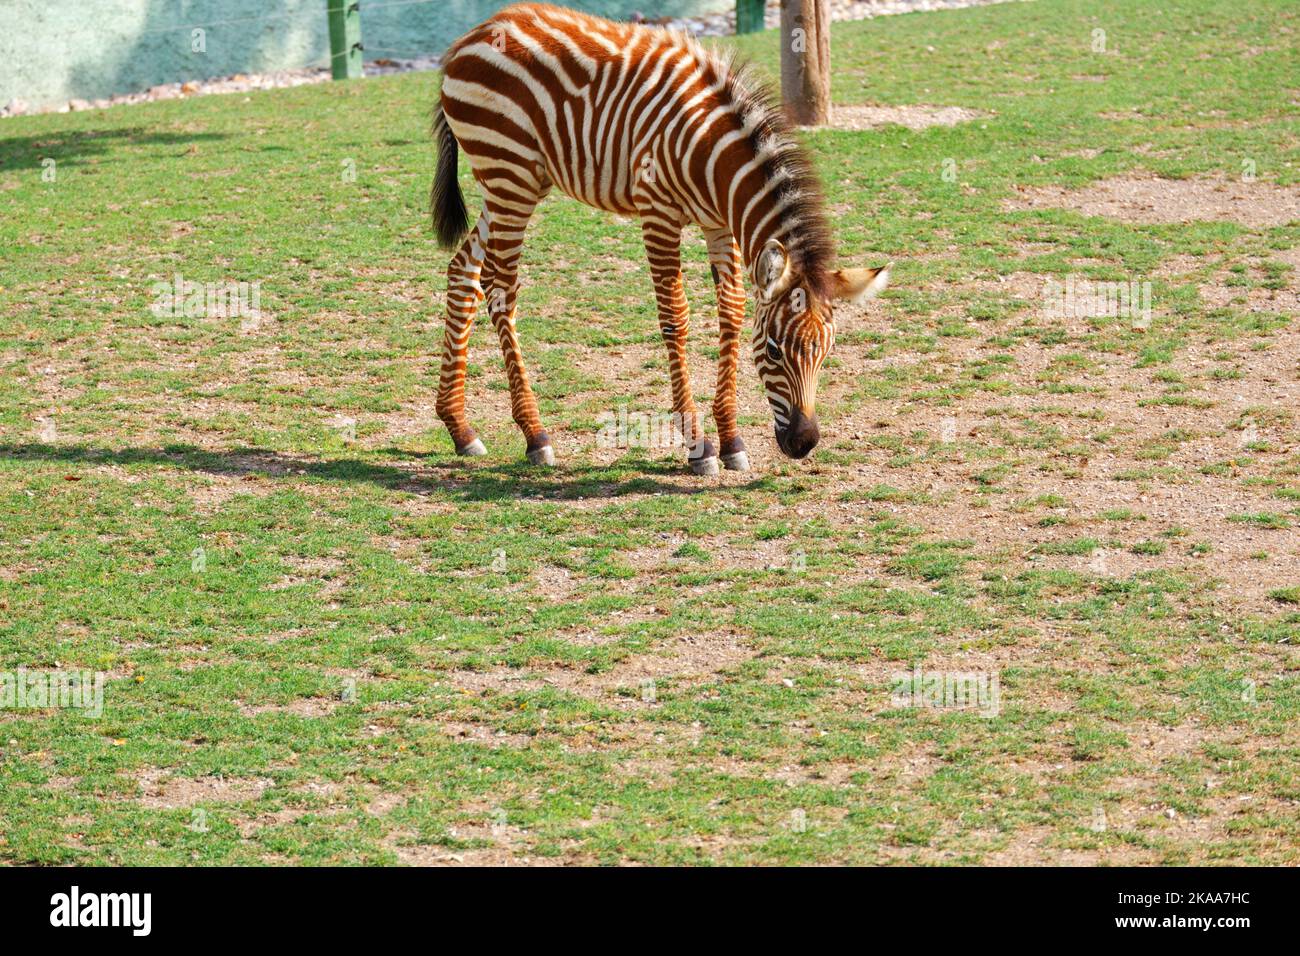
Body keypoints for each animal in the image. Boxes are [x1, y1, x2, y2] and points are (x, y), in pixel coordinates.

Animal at [431, 2, 889, 475]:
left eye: (828, 351)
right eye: (775, 350)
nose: (803, 443)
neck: (712, 157)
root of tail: (476, 33)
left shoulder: (721, 225)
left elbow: (731, 313)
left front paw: (731, 440)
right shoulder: (659, 215)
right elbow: (675, 317)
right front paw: (698, 445)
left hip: (515, 184)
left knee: (464, 269)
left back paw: (460, 427)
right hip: (510, 176)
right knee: (500, 288)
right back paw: (535, 435)